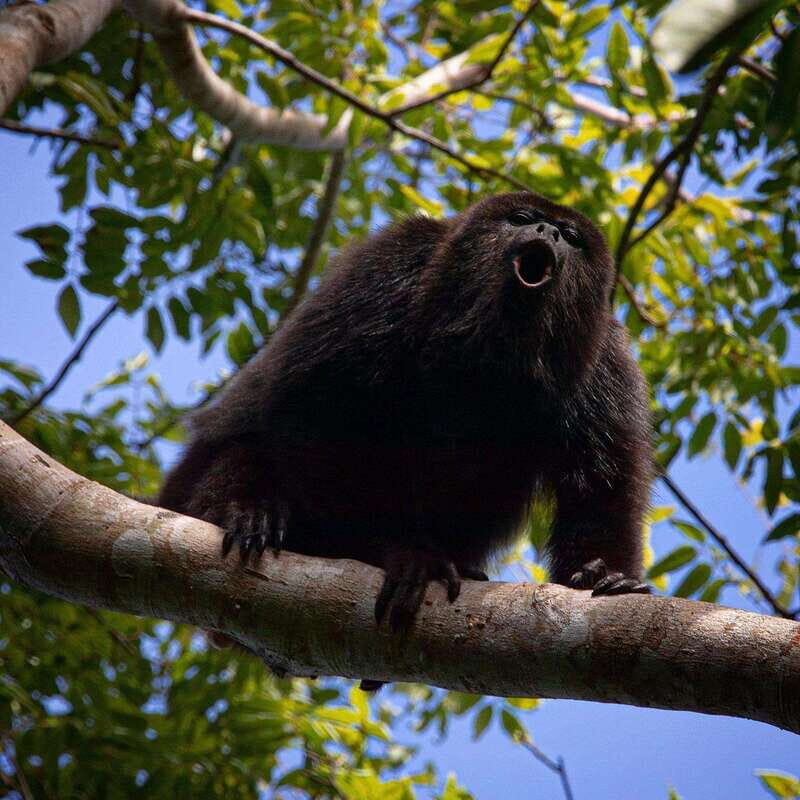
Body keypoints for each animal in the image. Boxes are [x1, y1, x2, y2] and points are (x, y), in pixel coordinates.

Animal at [159, 191, 652, 641]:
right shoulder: (389, 264)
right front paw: (401, 553)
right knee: (249, 450)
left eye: (570, 236)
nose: (547, 231)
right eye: (521, 218)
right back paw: (246, 513)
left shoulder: (604, 354)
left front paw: (599, 573)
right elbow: (317, 409)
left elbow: (601, 480)